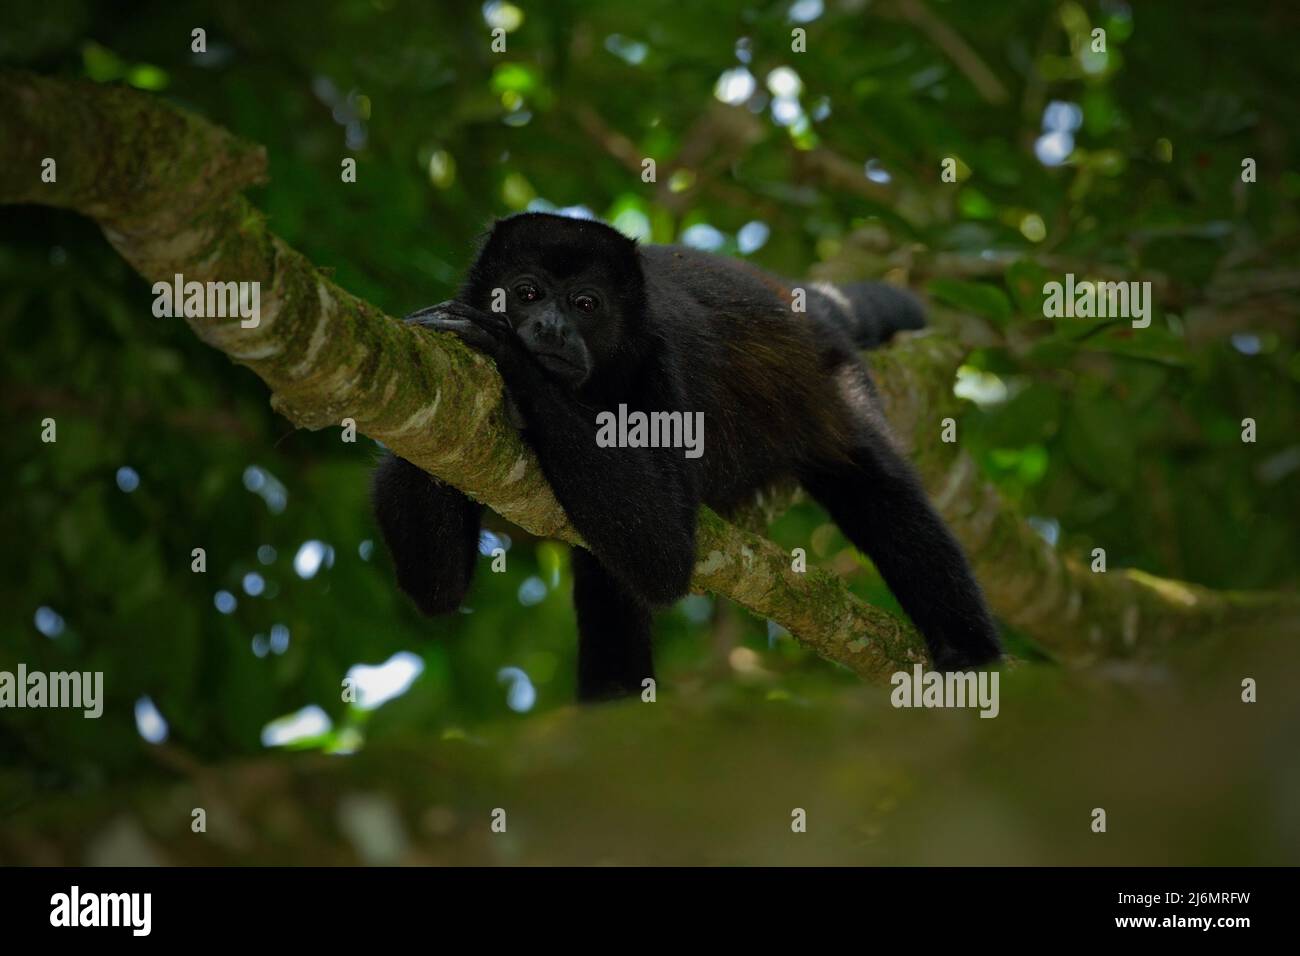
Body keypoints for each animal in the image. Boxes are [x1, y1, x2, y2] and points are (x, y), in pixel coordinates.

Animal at [372, 212, 1001, 701]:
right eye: (526, 292)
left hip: (835, 380)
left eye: (585, 303)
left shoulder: (659, 361)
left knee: (879, 490)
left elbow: (666, 552)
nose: (549, 326)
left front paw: (511, 356)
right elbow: (437, 586)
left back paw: (970, 656)